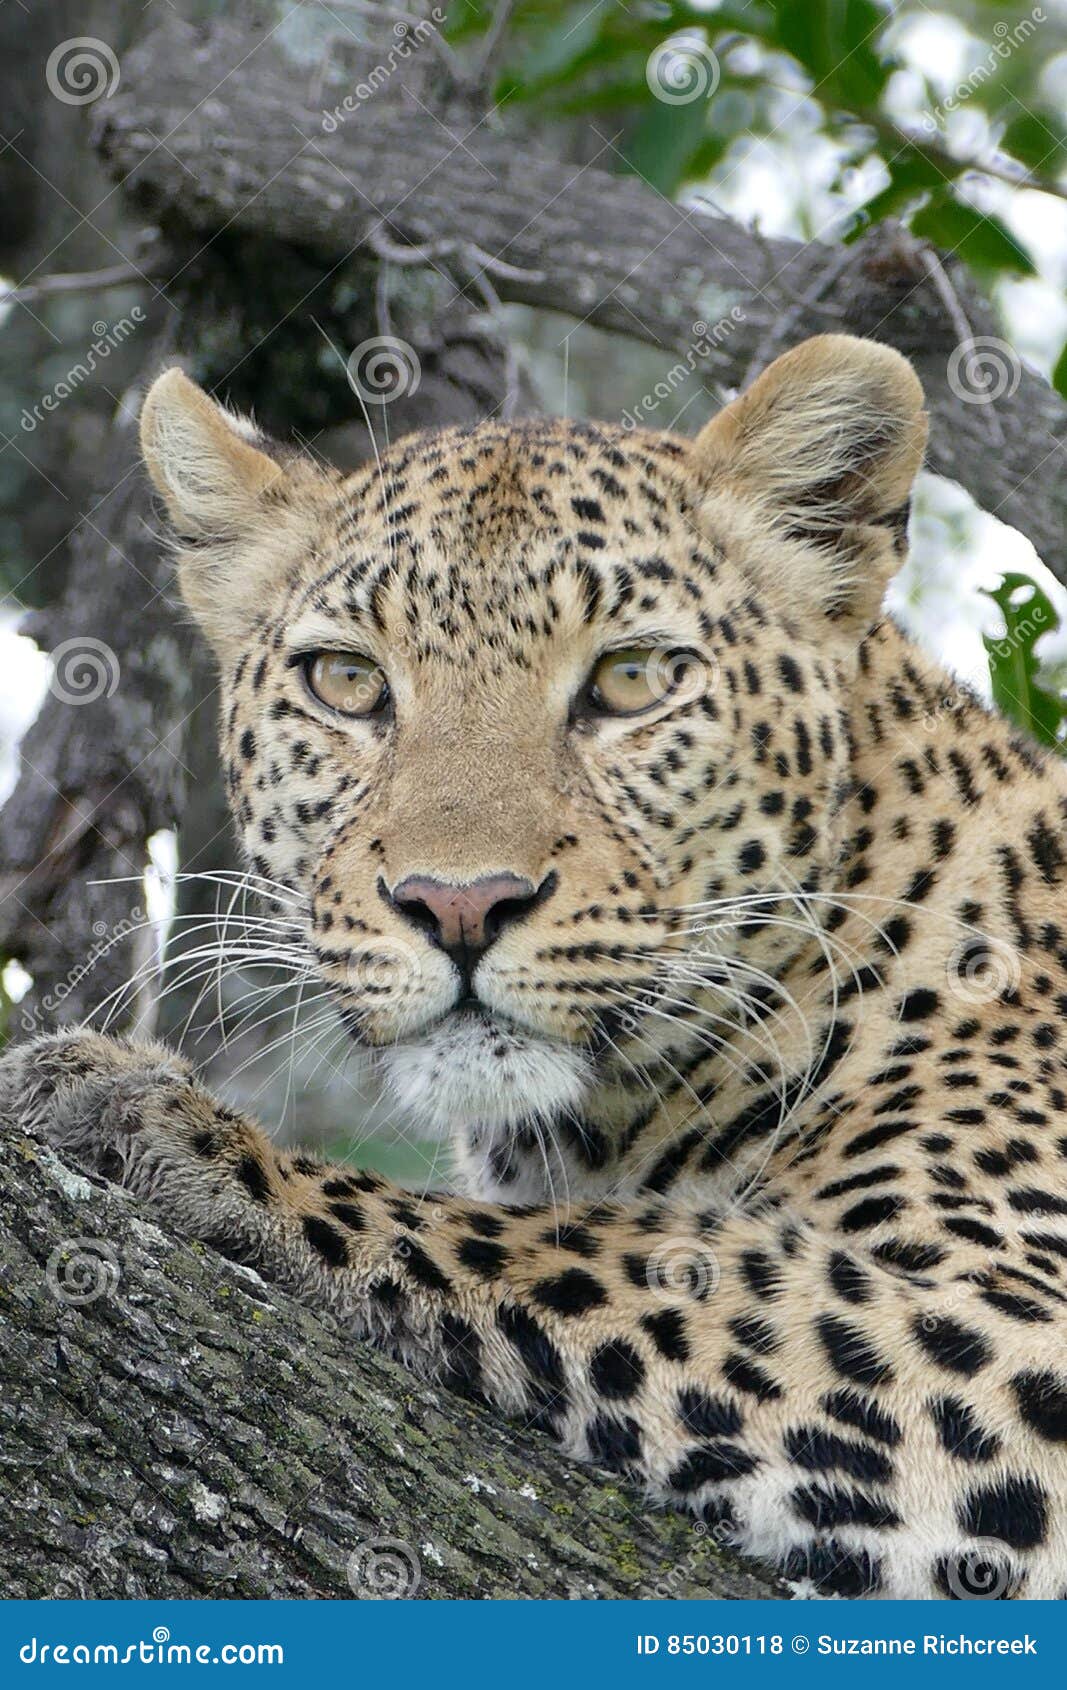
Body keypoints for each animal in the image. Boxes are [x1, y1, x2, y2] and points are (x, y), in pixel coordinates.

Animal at [5, 332, 1067, 1601]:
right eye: (347, 682)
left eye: (629, 679)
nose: (458, 904)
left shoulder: (1011, 1325)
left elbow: (597, 1253)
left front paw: (175, 1128)